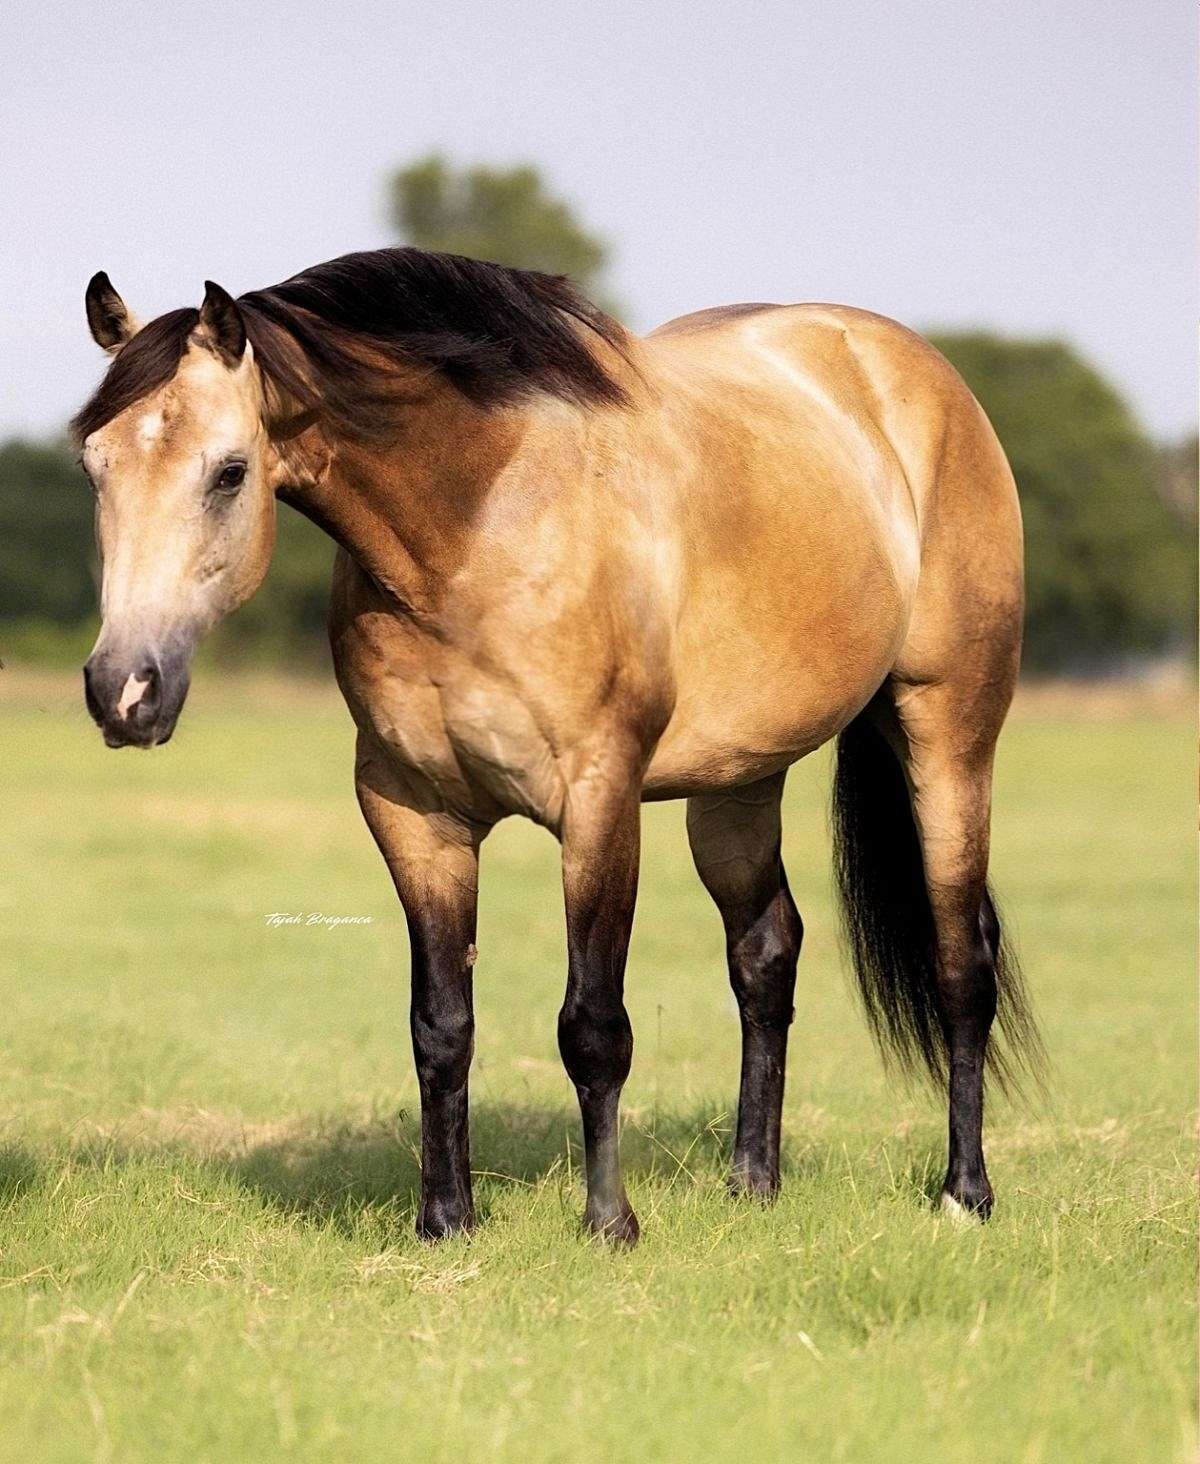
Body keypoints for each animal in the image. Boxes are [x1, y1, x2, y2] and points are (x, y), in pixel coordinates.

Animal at [73, 248, 1041, 1244]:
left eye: (229, 472)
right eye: (94, 466)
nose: (124, 690)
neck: (476, 527)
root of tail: (912, 372)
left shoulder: (600, 803)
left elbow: (594, 1026)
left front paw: (610, 1224)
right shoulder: (412, 814)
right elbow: (441, 1025)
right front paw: (445, 1222)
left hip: (949, 733)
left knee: (962, 962)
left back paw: (965, 1193)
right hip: (738, 781)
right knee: (766, 956)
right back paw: (752, 1183)